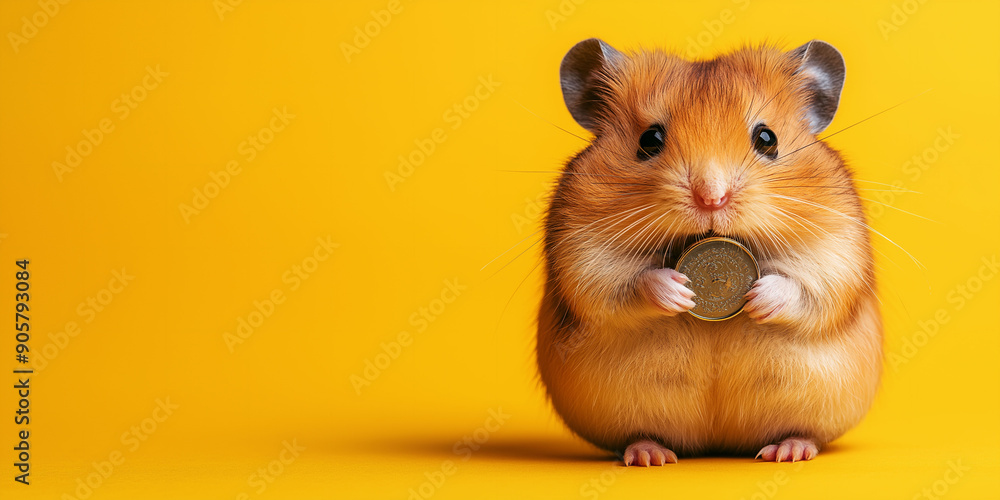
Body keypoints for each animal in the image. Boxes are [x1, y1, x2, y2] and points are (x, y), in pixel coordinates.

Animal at [536, 39, 882, 465]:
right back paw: (650, 455)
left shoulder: (837, 247)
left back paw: (787, 451)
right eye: (649, 140)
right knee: (635, 437)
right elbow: (620, 282)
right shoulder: (580, 248)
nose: (712, 198)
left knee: (808, 433)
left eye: (767, 139)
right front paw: (679, 292)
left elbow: (807, 284)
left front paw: (757, 297)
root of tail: (717, 444)